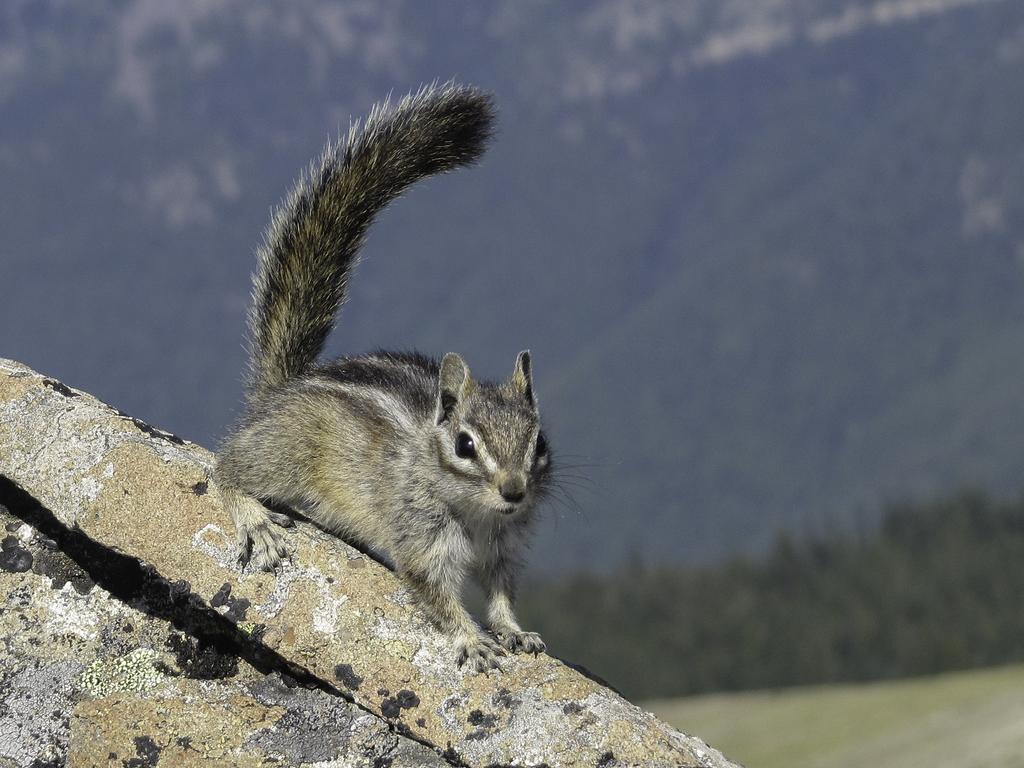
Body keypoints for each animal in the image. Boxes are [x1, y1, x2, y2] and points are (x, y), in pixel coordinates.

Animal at [215, 83, 551, 673]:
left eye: (540, 443)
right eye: (465, 446)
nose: (514, 491)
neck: (478, 516)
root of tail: (282, 391)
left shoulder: (504, 550)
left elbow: (501, 593)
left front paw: (514, 632)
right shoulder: (421, 540)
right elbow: (436, 594)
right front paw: (471, 640)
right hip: (283, 455)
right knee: (227, 465)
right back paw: (254, 518)